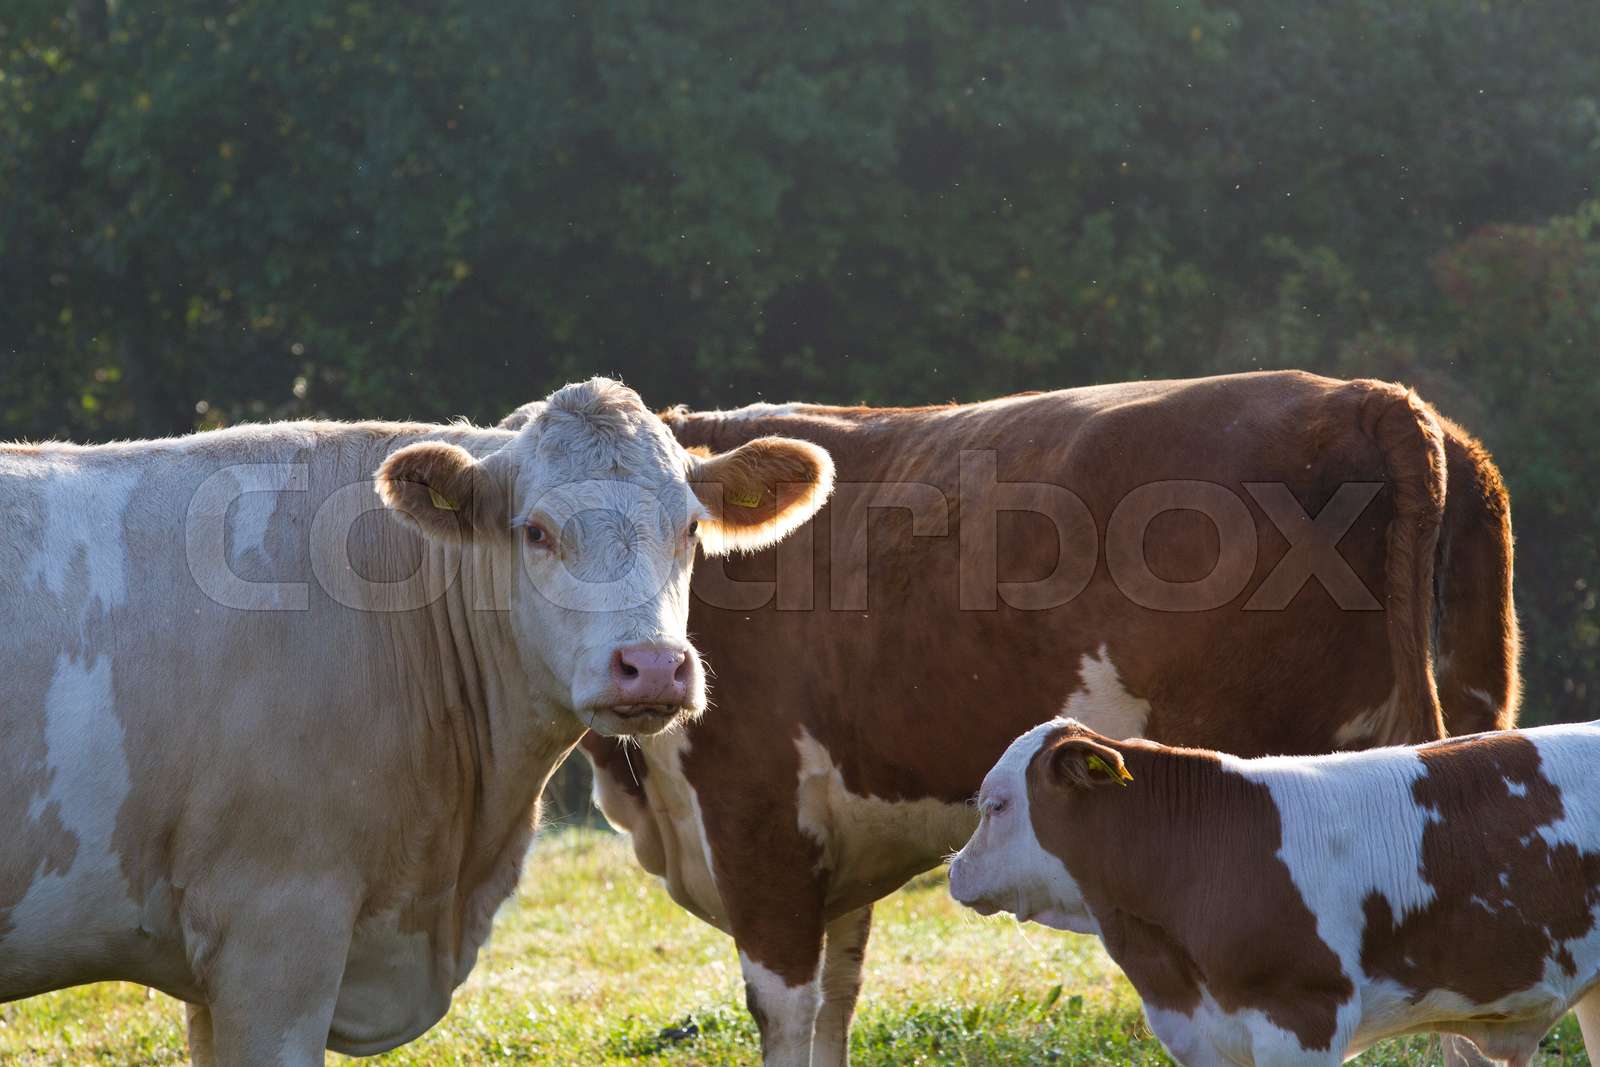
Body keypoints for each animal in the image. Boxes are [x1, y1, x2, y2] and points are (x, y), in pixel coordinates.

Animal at [572, 371, 1520, 1066]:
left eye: (684, 531)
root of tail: (1366, 396)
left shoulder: (753, 815)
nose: (649, 662)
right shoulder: (832, 849)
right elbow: (836, 1006)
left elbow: (785, 1013)